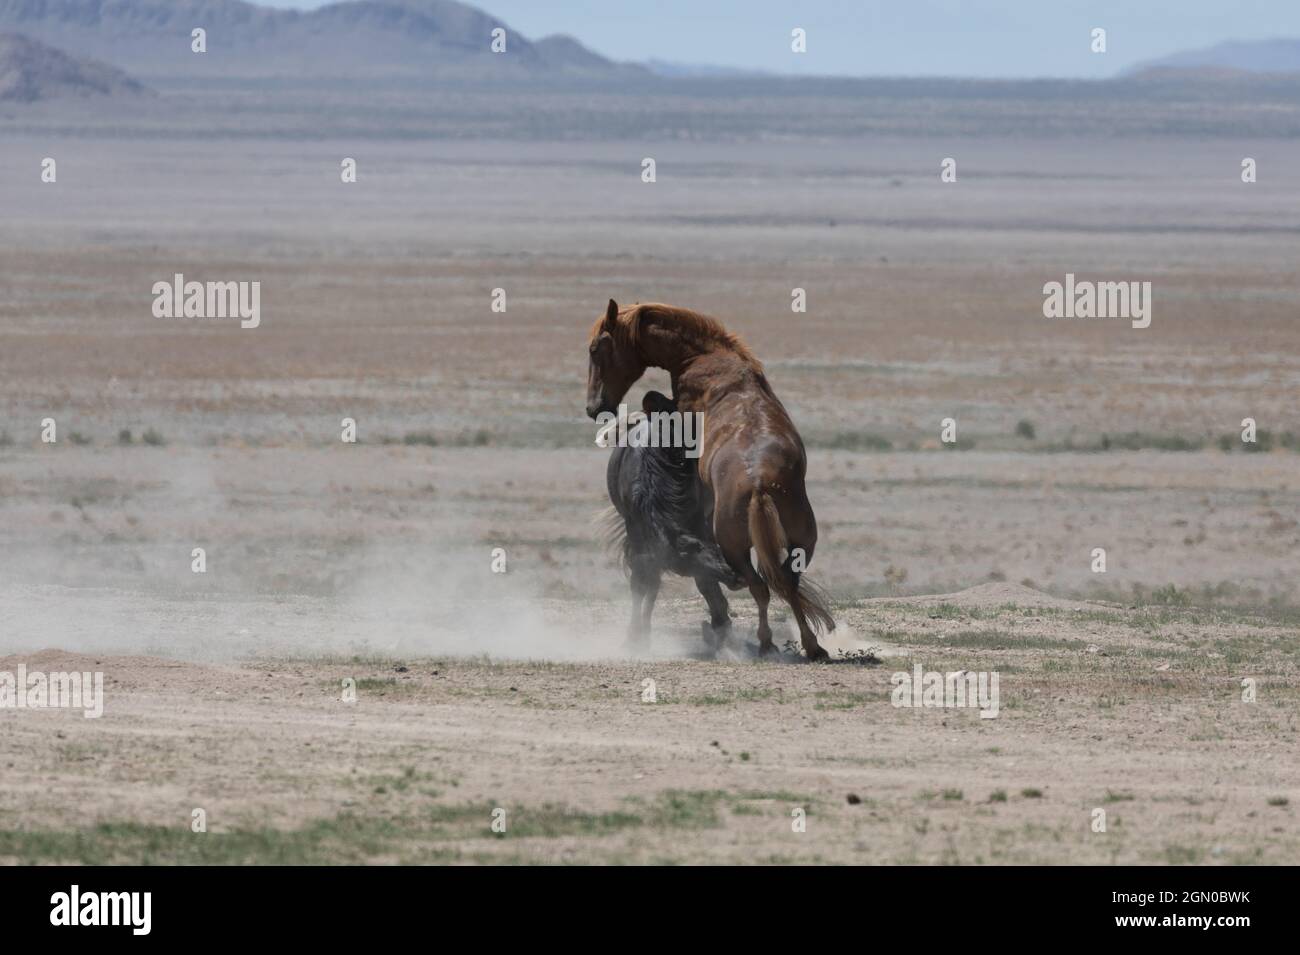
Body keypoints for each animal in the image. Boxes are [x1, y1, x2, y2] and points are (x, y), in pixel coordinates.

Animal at [601, 390, 741, 646]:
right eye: (689, 555)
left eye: (713, 549)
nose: (738, 576)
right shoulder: (638, 532)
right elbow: (643, 580)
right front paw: (636, 636)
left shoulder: (698, 521)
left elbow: (702, 582)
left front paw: (721, 621)